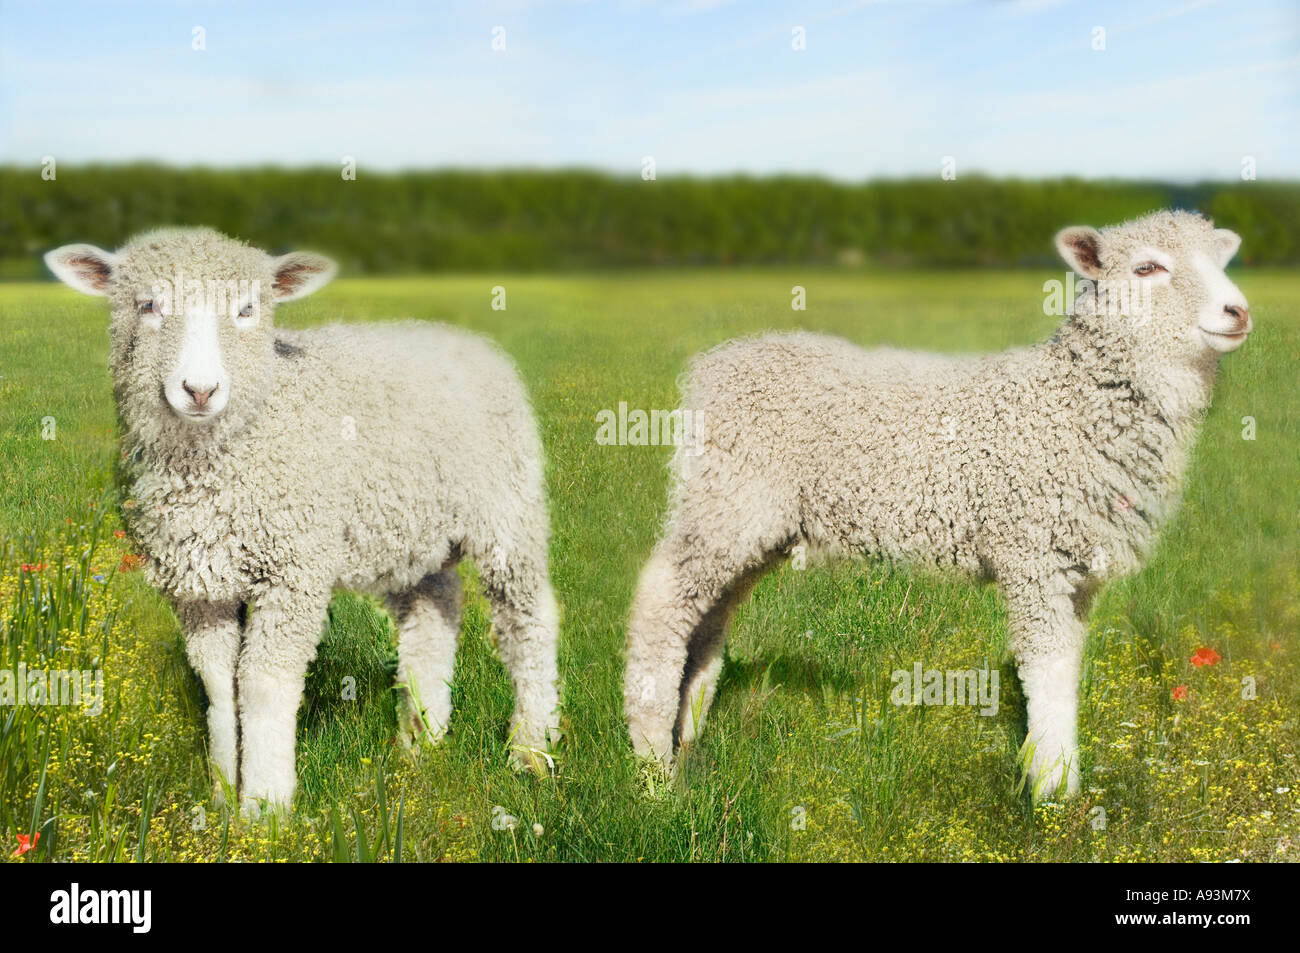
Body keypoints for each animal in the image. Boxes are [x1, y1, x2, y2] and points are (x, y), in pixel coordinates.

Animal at [45, 227, 561, 814]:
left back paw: (531, 747)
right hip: (408, 532)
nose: (199, 390)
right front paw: (223, 795)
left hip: (506, 505)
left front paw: (265, 808)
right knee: (434, 616)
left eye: (249, 310)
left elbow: (264, 684)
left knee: (529, 618)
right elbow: (220, 684)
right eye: (147, 305)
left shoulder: (293, 569)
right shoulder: (197, 585)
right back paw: (422, 741)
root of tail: (467, 339)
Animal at [624, 210, 1251, 800]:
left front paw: (1061, 782)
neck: (1072, 403)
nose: (1238, 311)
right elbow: (1046, 672)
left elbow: (1067, 672)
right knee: (660, 600)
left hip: (754, 519)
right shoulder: (1033, 554)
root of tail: (711, 367)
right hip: (728, 495)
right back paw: (652, 761)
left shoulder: (1076, 570)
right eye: (1147, 268)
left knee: (708, 616)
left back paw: (688, 734)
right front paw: (1050, 792)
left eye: (1221, 261)